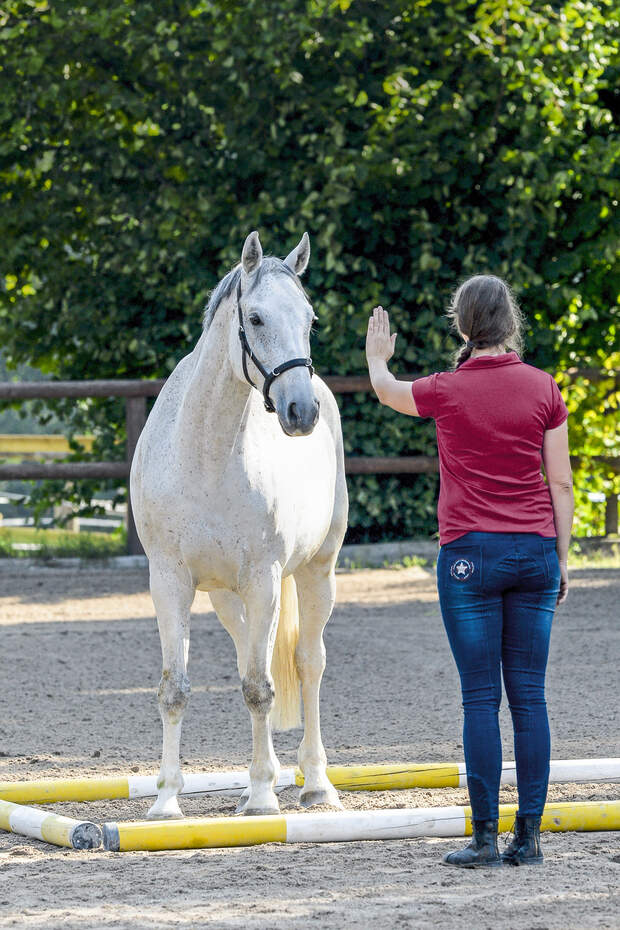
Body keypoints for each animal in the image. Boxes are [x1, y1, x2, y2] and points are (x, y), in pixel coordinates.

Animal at [130, 230, 348, 818]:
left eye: (310, 318)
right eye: (254, 317)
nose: (301, 411)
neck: (205, 454)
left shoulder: (264, 579)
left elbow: (260, 687)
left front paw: (263, 797)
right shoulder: (170, 582)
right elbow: (175, 688)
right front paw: (166, 800)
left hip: (317, 572)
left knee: (308, 663)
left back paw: (313, 781)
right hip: (227, 597)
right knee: (255, 655)